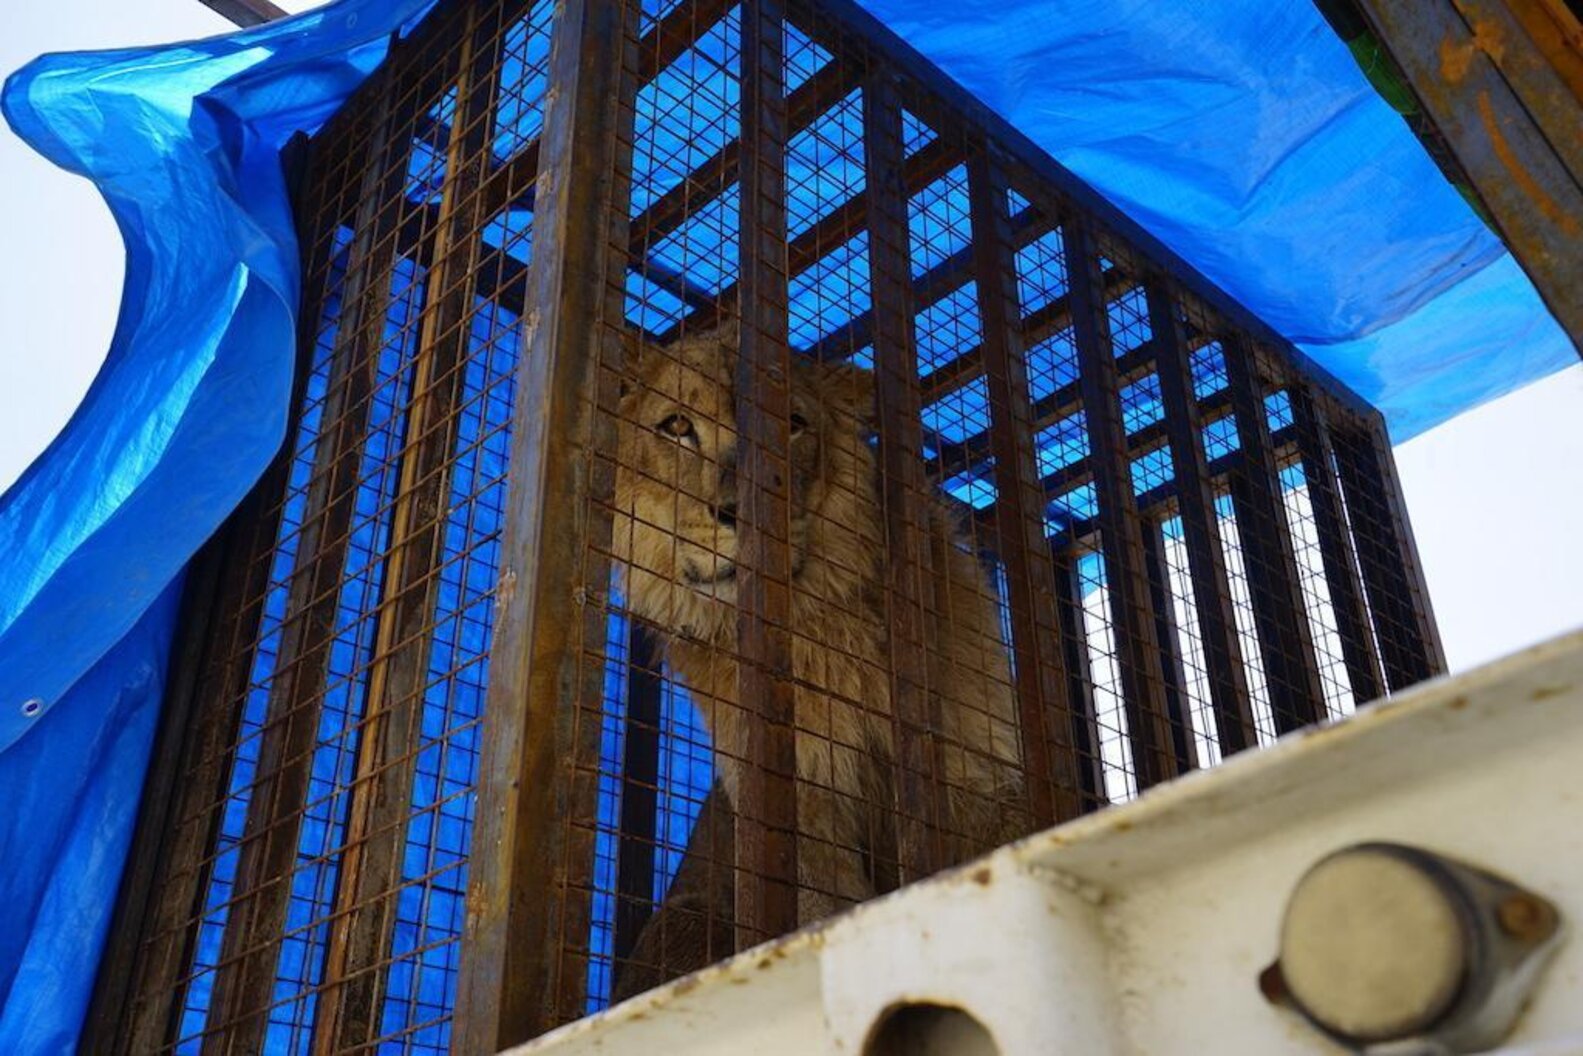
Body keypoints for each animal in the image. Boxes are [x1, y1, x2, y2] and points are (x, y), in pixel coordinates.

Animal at [606, 320, 1027, 998]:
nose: (746, 514)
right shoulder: (800, 802)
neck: (819, 627)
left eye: (792, 424)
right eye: (676, 426)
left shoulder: (977, 772)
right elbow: (820, 913)